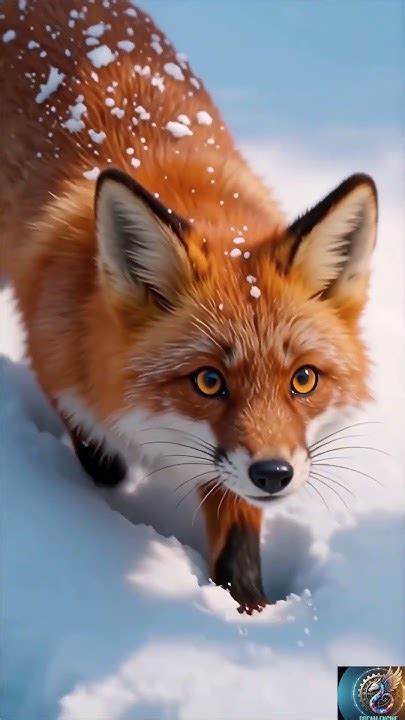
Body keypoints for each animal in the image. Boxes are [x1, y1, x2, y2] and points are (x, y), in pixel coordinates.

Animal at [0, 0, 377, 613]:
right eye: (208, 381)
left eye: (303, 379)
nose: (273, 474)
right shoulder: (53, 357)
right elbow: (105, 459)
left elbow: (237, 538)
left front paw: (248, 612)